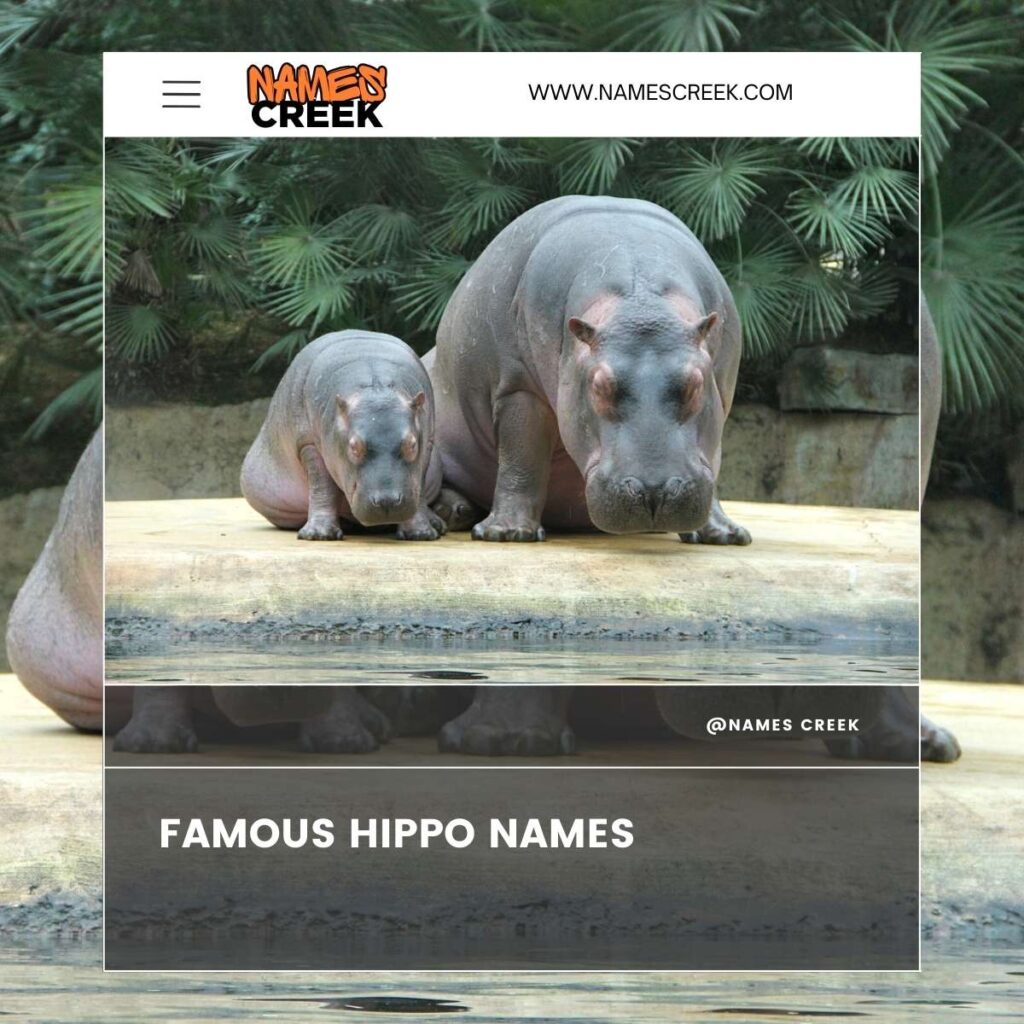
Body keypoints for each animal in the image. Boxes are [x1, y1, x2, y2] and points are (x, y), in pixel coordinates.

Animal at [241, 330, 446, 541]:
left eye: (412, 445)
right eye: (354, 447)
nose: (387, 501)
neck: (375, 385)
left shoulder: (427, 443)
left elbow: (418, 486)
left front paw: (420, 533)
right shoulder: (308, 445)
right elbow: (322, 487)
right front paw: (318, 535)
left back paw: (437, 524)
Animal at [426, 195, 750, 545]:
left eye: (695, 384)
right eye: (599, 386)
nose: (655, 491)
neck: (640, 300)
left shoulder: (722, 392)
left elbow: (713, 459)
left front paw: (724, 535)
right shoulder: (517, 387)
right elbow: (522, 457)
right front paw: (507, 533)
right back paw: (453, 511)